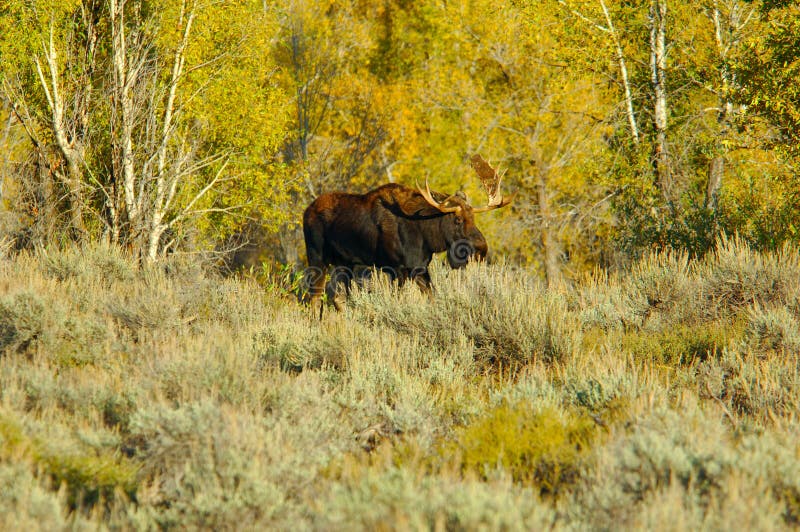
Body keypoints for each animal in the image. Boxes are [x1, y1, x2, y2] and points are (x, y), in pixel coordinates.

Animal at [302, 154, 513, 316]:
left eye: (474, 218)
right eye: (458, 219)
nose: (482, 248)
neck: (425, 236)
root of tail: (306, 211)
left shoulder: (418, 267)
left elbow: (432, 297)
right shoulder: (396, 268)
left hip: (344, 262)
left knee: (338, 297)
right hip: (317, 257)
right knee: (315, 297)